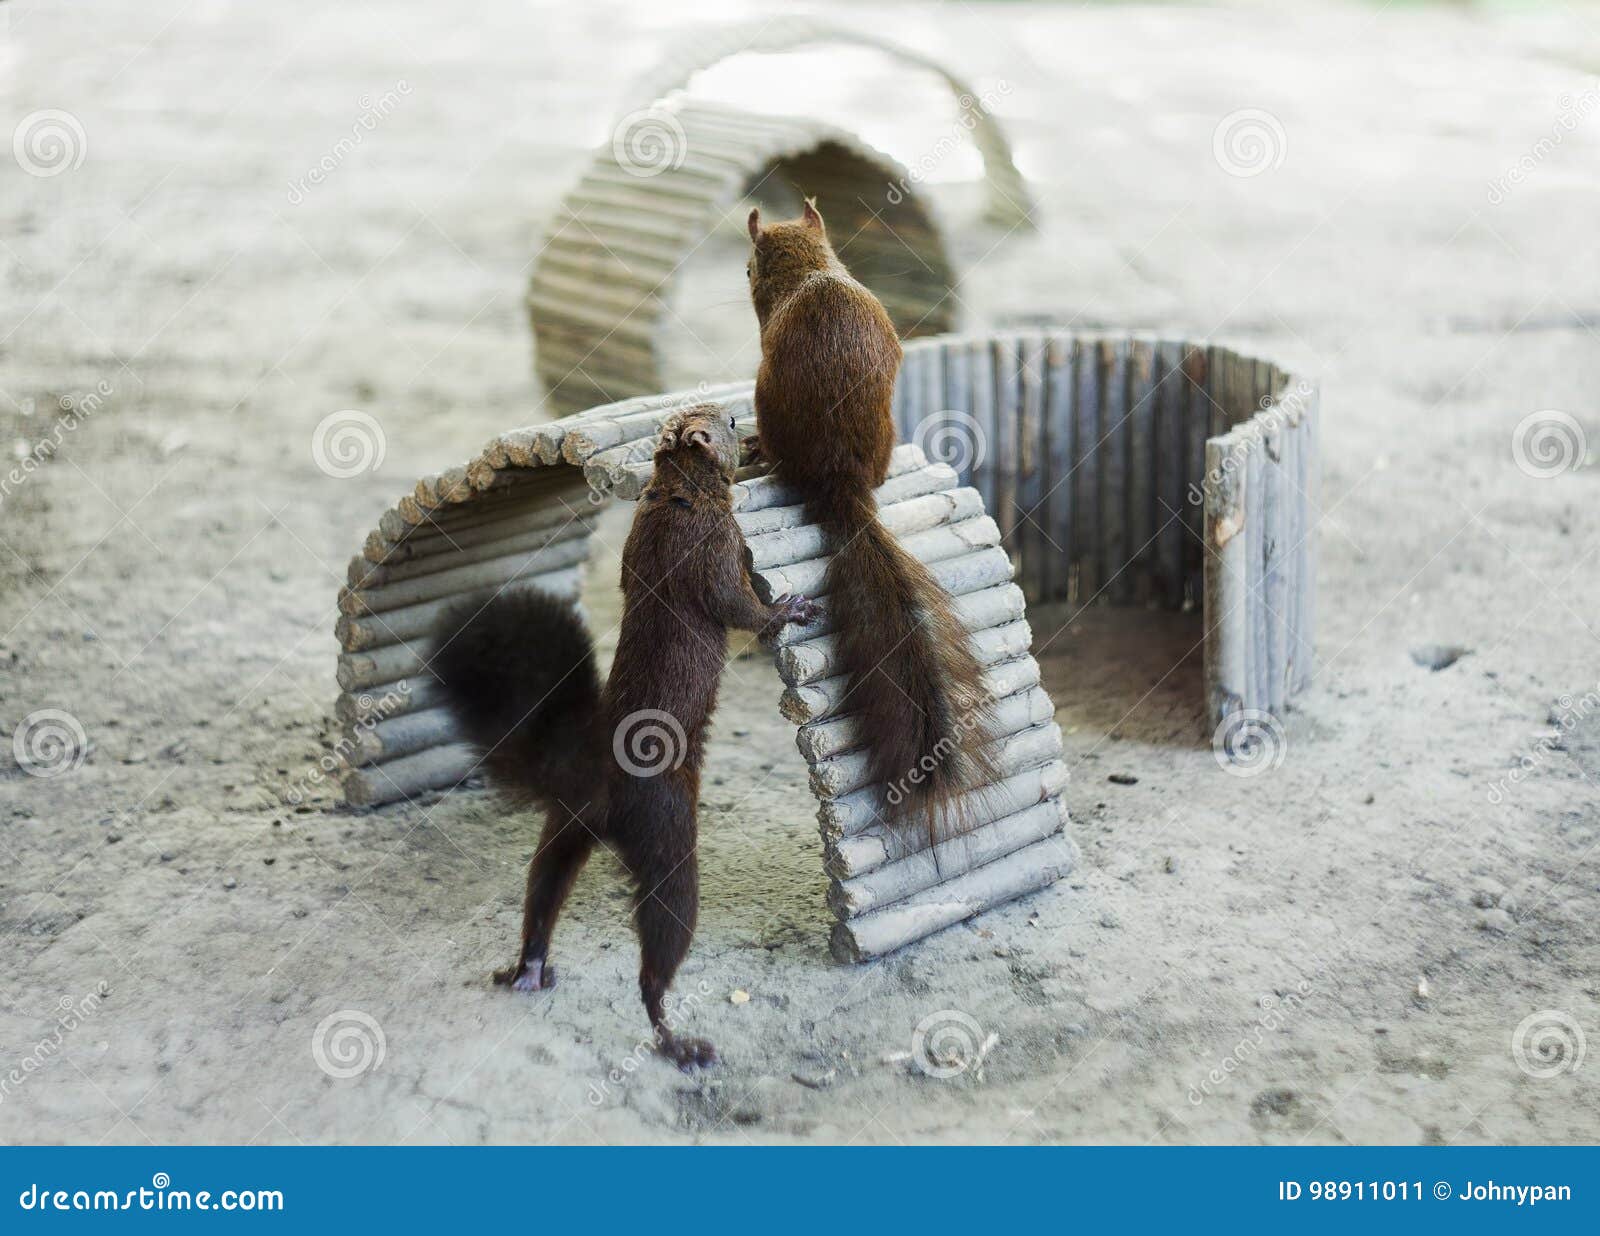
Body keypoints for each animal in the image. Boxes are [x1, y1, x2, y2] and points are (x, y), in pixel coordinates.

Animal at [430, 406, 818, 1070]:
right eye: (731, 420)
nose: (754, 435)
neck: (675, 500)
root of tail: (595, 779)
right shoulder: (714, 551)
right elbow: (738, 605)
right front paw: (791, 608)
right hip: (669, 836)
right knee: (658, 956)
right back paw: (682, 1041)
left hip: (561, 831)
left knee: (541, 897)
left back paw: (528, 971)